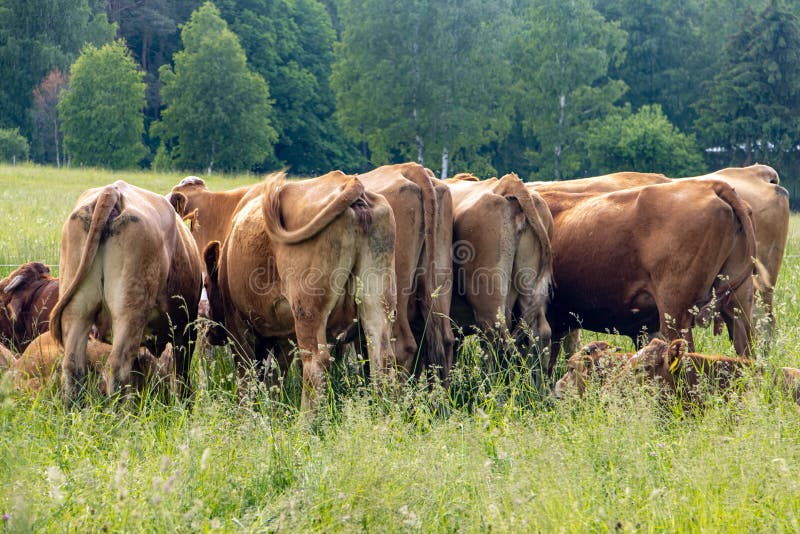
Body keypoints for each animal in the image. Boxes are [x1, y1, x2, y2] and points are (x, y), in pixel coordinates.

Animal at [50, 180, 203, 403]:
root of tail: (113, 191)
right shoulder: (185, 328)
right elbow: (182, 378)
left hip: (77, 309)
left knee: (73, 366)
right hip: (129, 313)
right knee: (118, 368)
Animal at [202, 171, 397, 409]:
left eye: (206, 285)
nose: (211, 334)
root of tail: (346, 182)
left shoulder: (239, 329)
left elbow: (246, 379)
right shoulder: (283, 337)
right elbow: (276, 377)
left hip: (308, 311)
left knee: (316, 363)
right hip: (377, 300)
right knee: (382, 356)